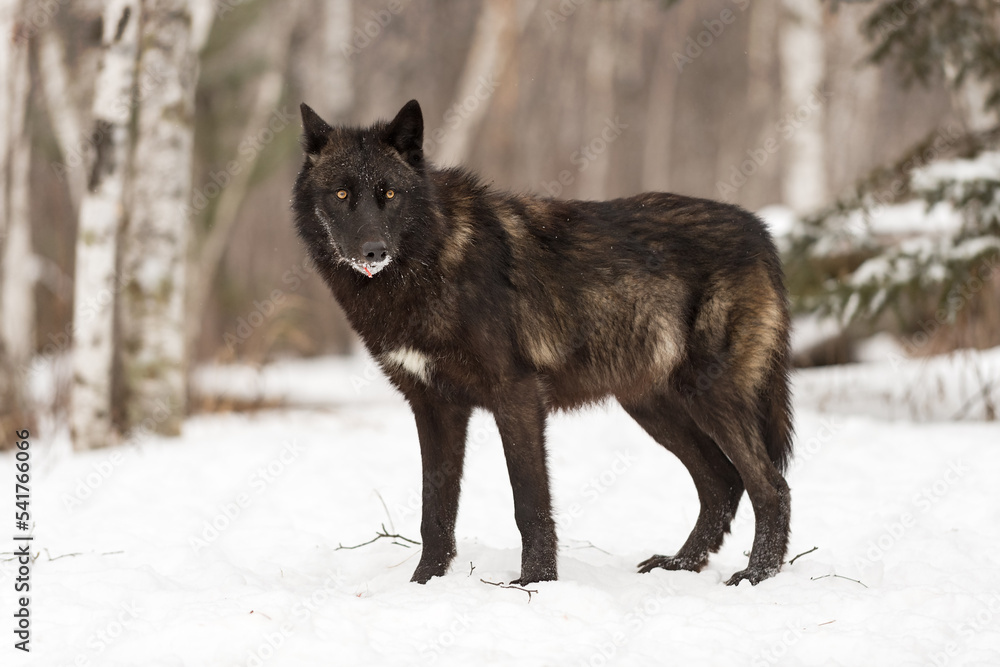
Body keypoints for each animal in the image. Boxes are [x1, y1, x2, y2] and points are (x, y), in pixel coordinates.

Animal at [292, 100, 793, 587]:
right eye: (341, 194)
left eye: (390, 194)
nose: (373, 250)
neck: (430, 259)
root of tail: (760, 229)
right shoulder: (434, 406)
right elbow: (434, 512)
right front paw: (425, 584)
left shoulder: (516, 395)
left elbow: (529, 502)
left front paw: (535, 581)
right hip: (652, 406)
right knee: (723, 484)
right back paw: (680, 565)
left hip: (708, 398)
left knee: (770, 485)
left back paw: (756, 575)